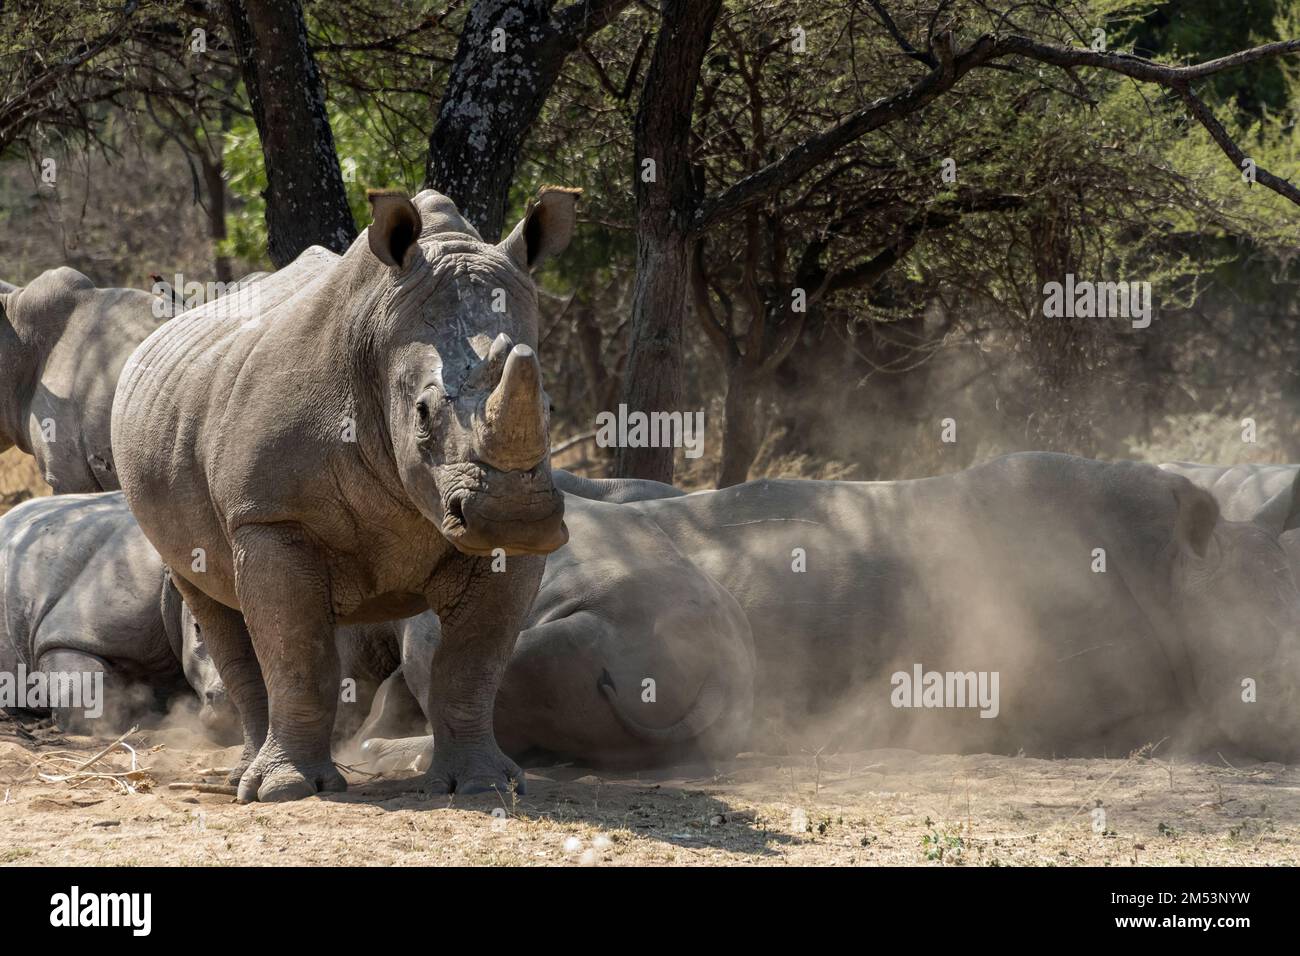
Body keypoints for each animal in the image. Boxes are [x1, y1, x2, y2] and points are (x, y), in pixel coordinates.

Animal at [113, 187, 579, 801]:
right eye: (422, 412)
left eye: (549, 407)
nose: (514, 517)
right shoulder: (270, 516)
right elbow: (296, 655)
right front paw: (288, 791)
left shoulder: (511, 549)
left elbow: (473, 664)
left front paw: (485, 786)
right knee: (213, 602)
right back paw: (248, 782)